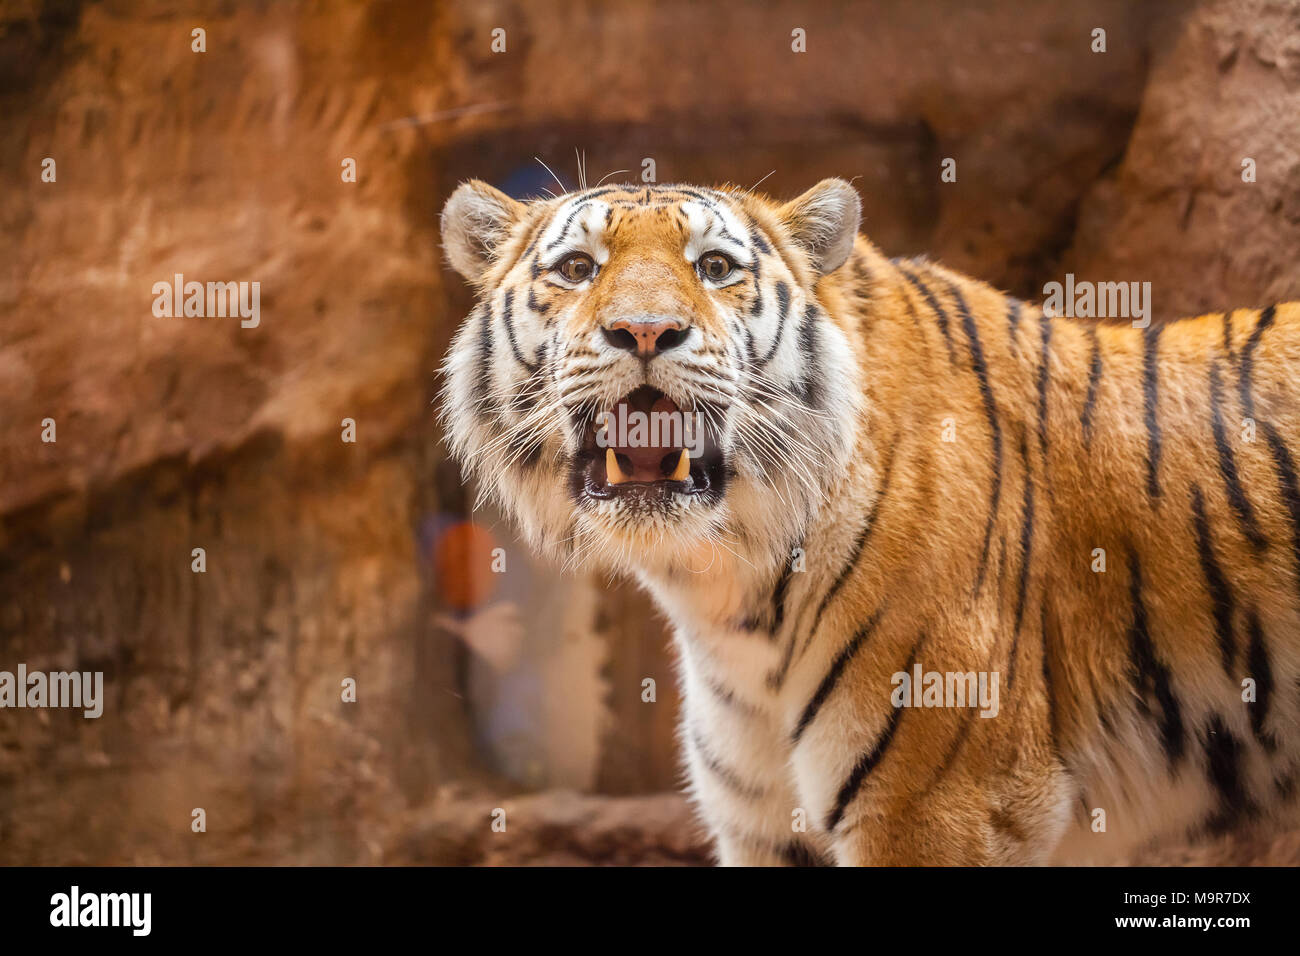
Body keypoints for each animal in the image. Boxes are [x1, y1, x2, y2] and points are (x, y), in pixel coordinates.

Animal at [437, 176, 1300, 865]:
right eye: (577, 269)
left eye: (715, 268)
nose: (644, 331)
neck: (727, 594)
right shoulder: (762, 825)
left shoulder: (937, 808)